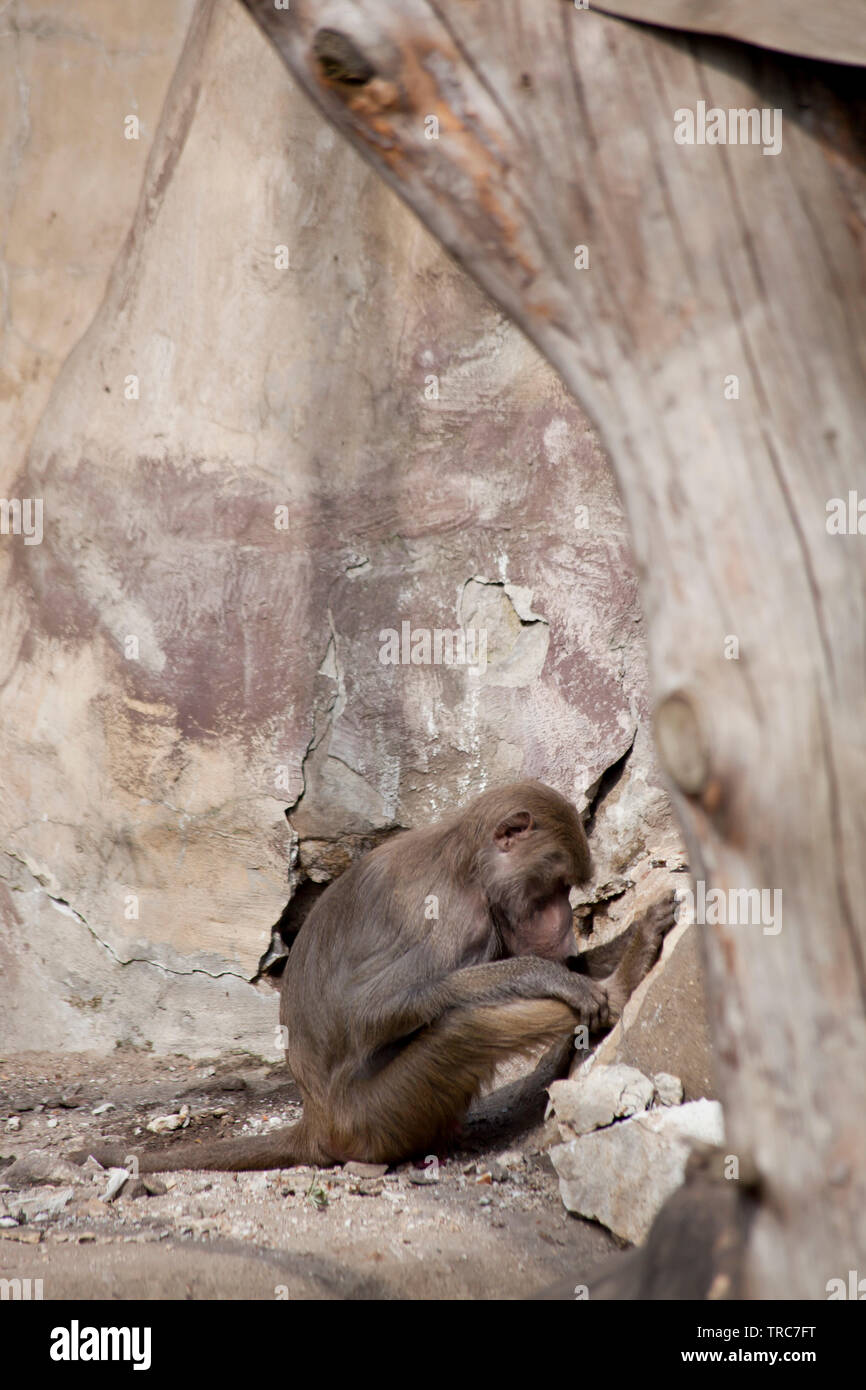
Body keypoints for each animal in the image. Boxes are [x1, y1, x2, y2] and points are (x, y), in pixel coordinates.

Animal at [78, 781, 675, 1173]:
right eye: (554, 885)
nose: (561, 922)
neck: (469, 866)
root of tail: (317, 1122)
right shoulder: (451, 916)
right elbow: (373, 1011)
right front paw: (566, 978)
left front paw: (624, 938)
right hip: (371, 1117)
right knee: (462, 1026)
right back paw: (622, 986)